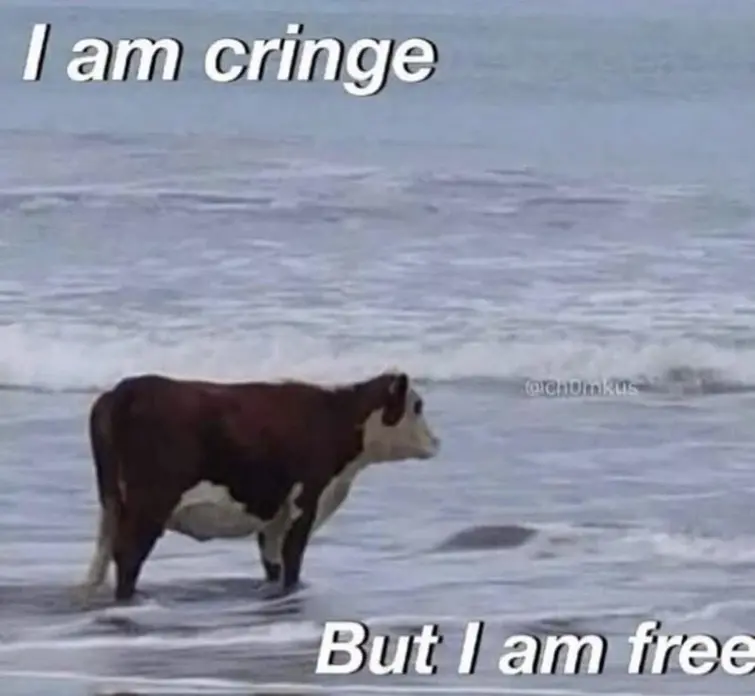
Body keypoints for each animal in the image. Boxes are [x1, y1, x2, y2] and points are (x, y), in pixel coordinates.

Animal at [74, 368, 441, 604]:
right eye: (417, 406)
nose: (436, 442)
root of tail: (121, 392)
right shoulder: (305, 500)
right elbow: (292, 558)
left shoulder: (274, 515)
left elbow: (272, 561)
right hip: (149, 503)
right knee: (128, 555)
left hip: (112, 503)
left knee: (102, 555)